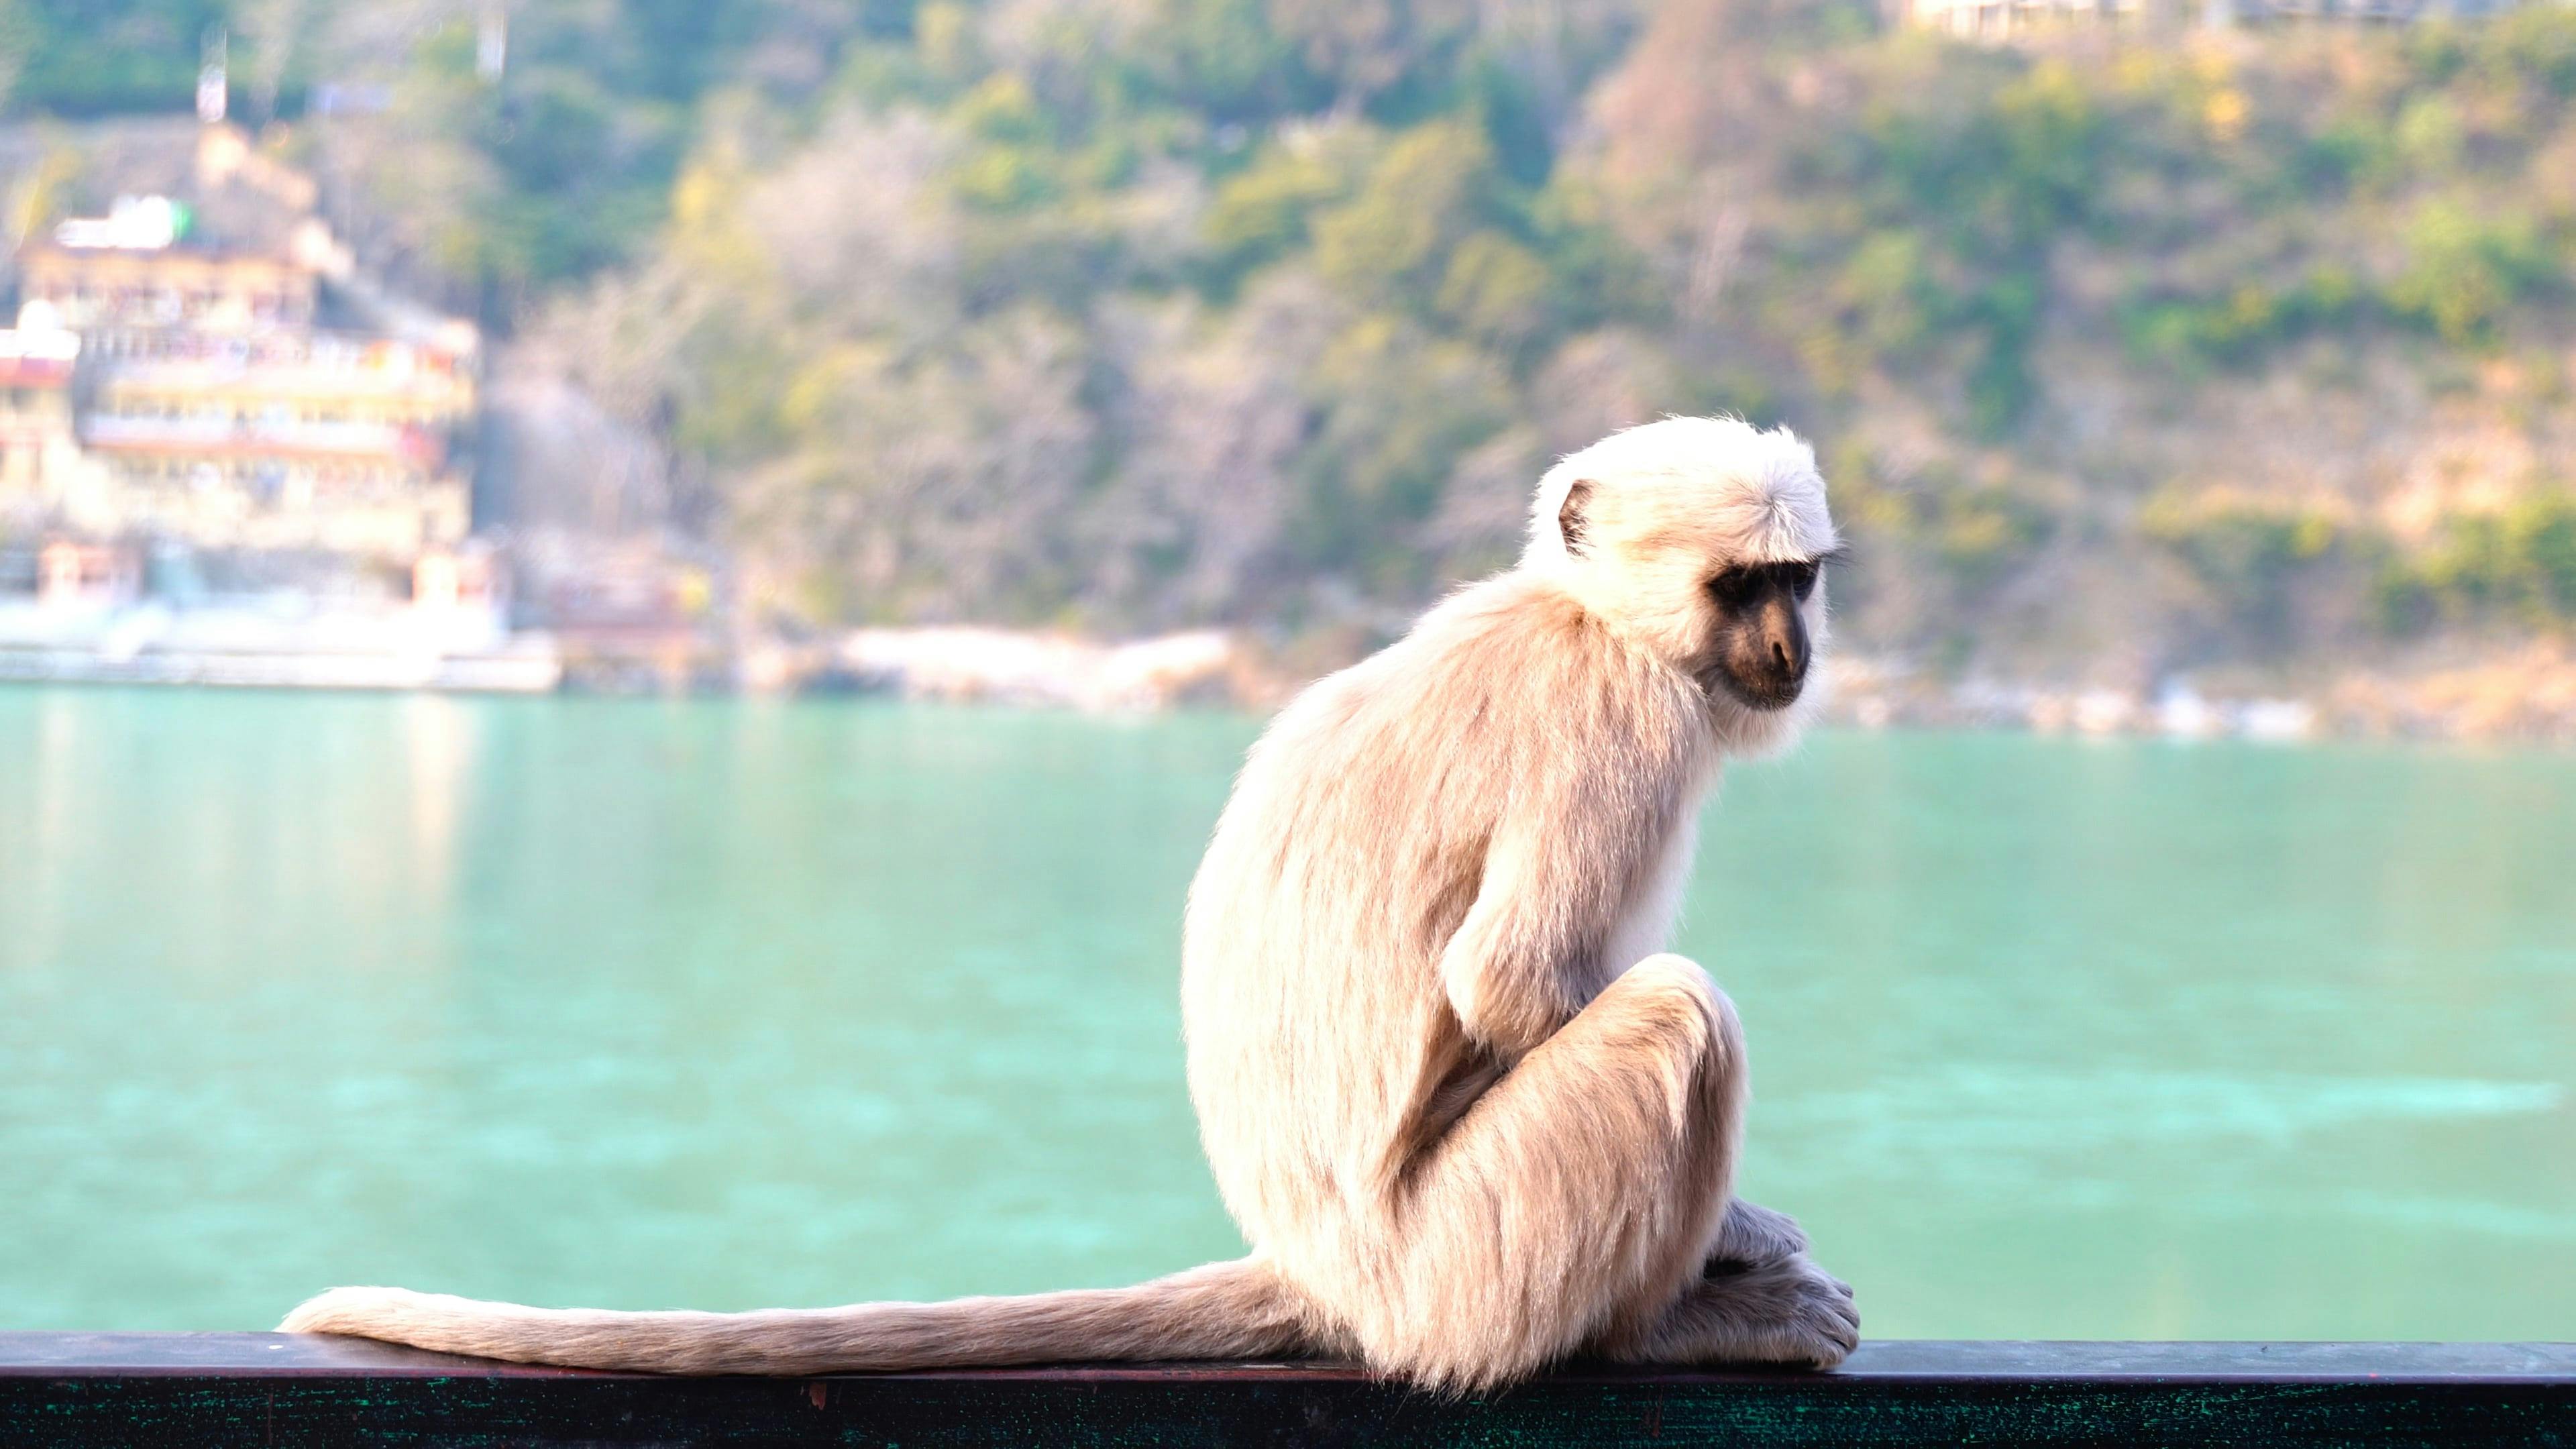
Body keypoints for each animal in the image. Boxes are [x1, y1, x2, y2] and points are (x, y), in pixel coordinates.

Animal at [281, 414, 1860, 1390]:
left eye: (1800, 580)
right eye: (1745, 587)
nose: (1791, 649)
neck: (1583, 620)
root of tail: (1329, 1277)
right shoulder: (1627, 726)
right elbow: (1513, 983)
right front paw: (1746, 1238)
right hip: (1477, 1268)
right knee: (1675, 1013)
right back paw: (1660, 1332)